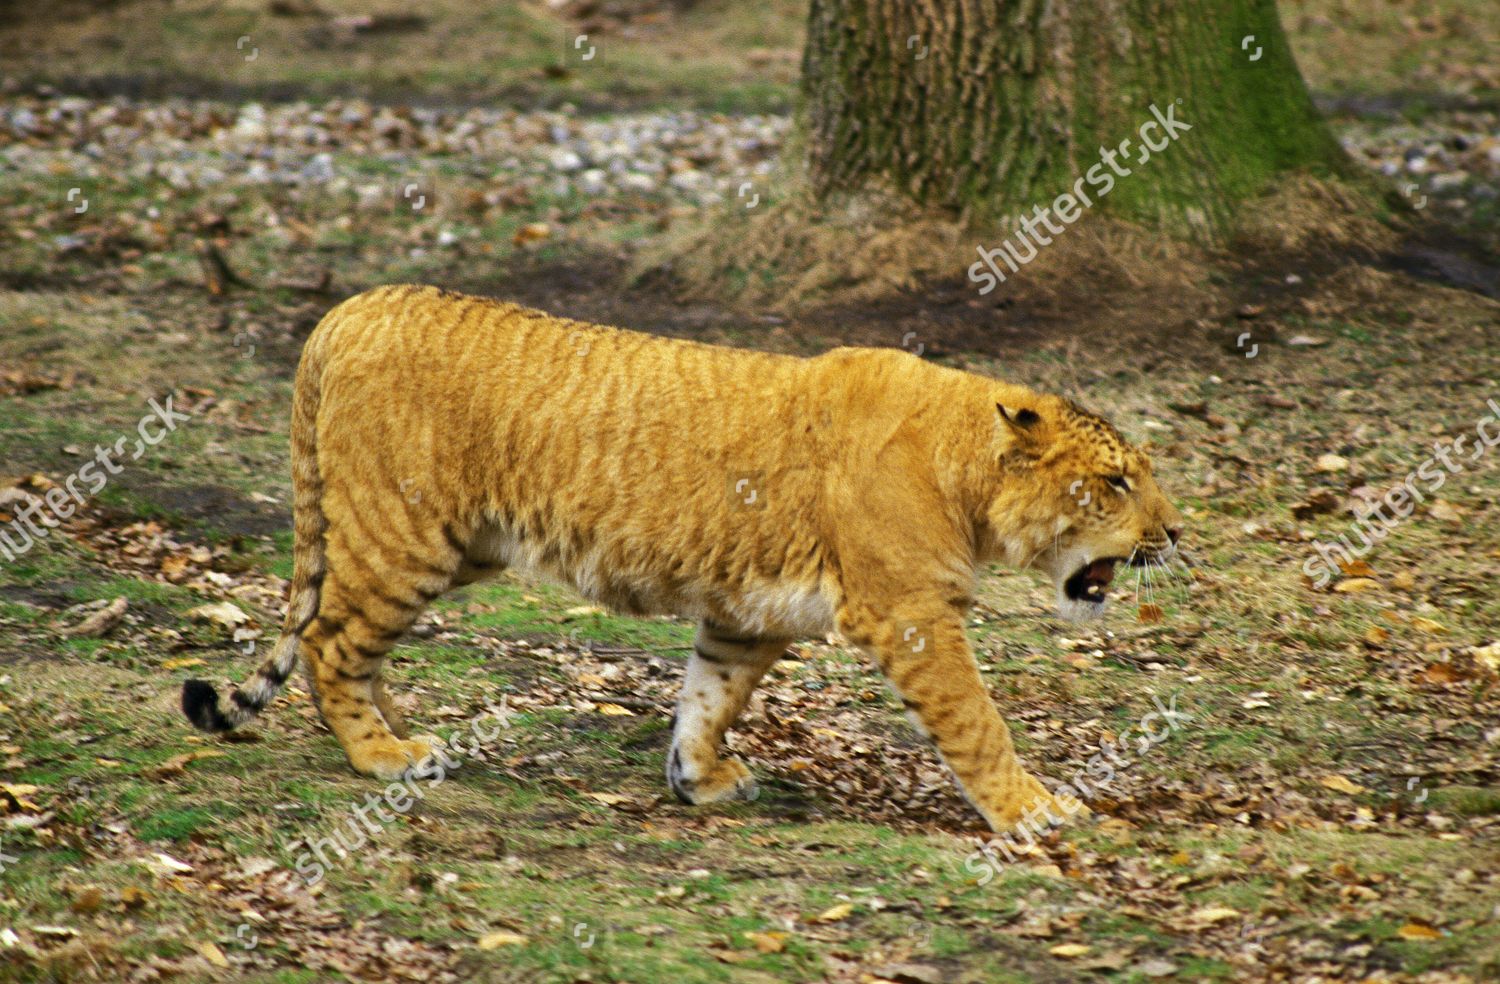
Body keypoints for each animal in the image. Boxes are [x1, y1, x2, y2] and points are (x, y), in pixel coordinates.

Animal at [182, 285, 1182, 832]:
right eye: (1116, 482)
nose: (1176, 536)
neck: (963, 467)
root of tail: (352, 307)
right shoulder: (910, 614)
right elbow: (978, 724)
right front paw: (1035, 811)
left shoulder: (748, 614)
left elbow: (712, 696)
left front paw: (698, 779)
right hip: (406, 536)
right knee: (330, 643)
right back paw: (384, 756)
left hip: (457, 545)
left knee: (346, 640)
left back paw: (403, 730)